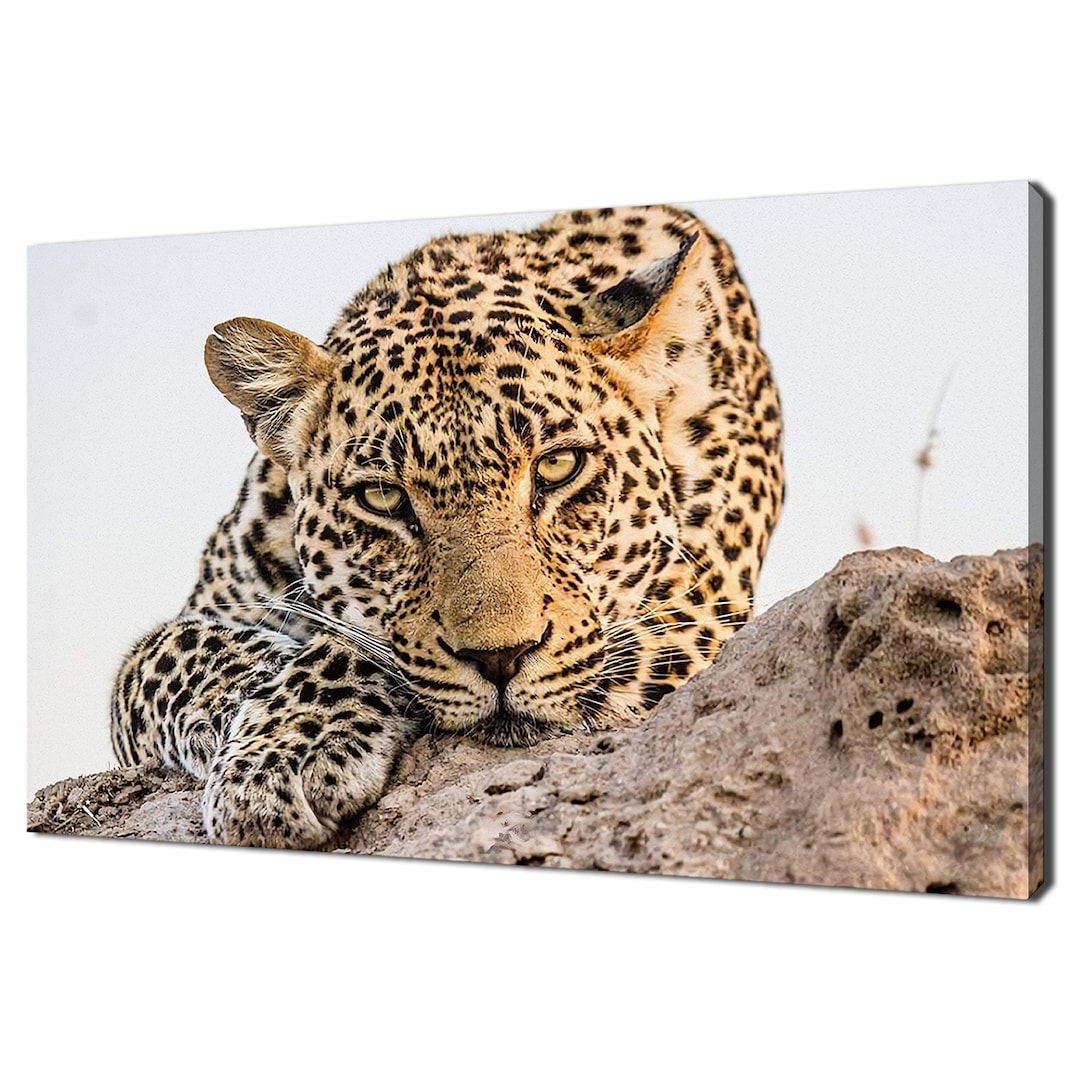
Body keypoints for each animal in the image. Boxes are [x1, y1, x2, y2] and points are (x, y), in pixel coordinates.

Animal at [110, 204, 784, 849]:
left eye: (558, 466)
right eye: (384, 497)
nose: (501, 658)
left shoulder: (699, 605)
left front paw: (284, 748)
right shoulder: (214, 604)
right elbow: (158, 657)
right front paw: (273, 728)